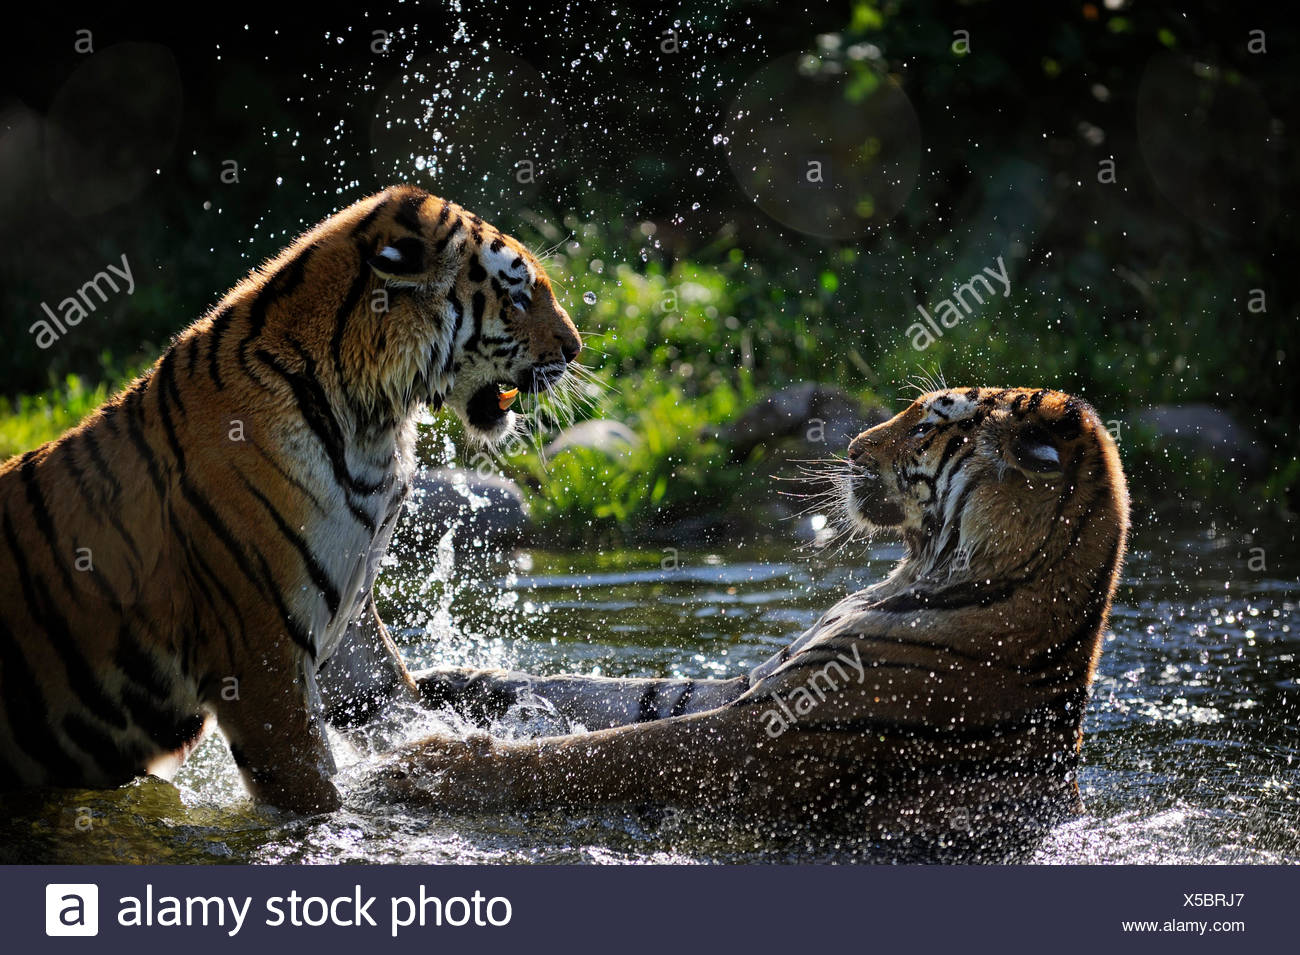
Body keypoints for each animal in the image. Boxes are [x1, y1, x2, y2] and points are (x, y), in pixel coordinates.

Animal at [0, 184, 581, 813]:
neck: (374, 426)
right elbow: (311, 789)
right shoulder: (262, 661)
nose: (576, 349)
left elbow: (397, 702)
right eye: (517, 294)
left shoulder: (349, 628)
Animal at [391, 387, 1130, 832]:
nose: (851, 448)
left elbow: (604, 753)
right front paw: (447, 681)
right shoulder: (751, 686)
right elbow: (619, 692)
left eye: (927, 425)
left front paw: (432, 764)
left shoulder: (757, 733)